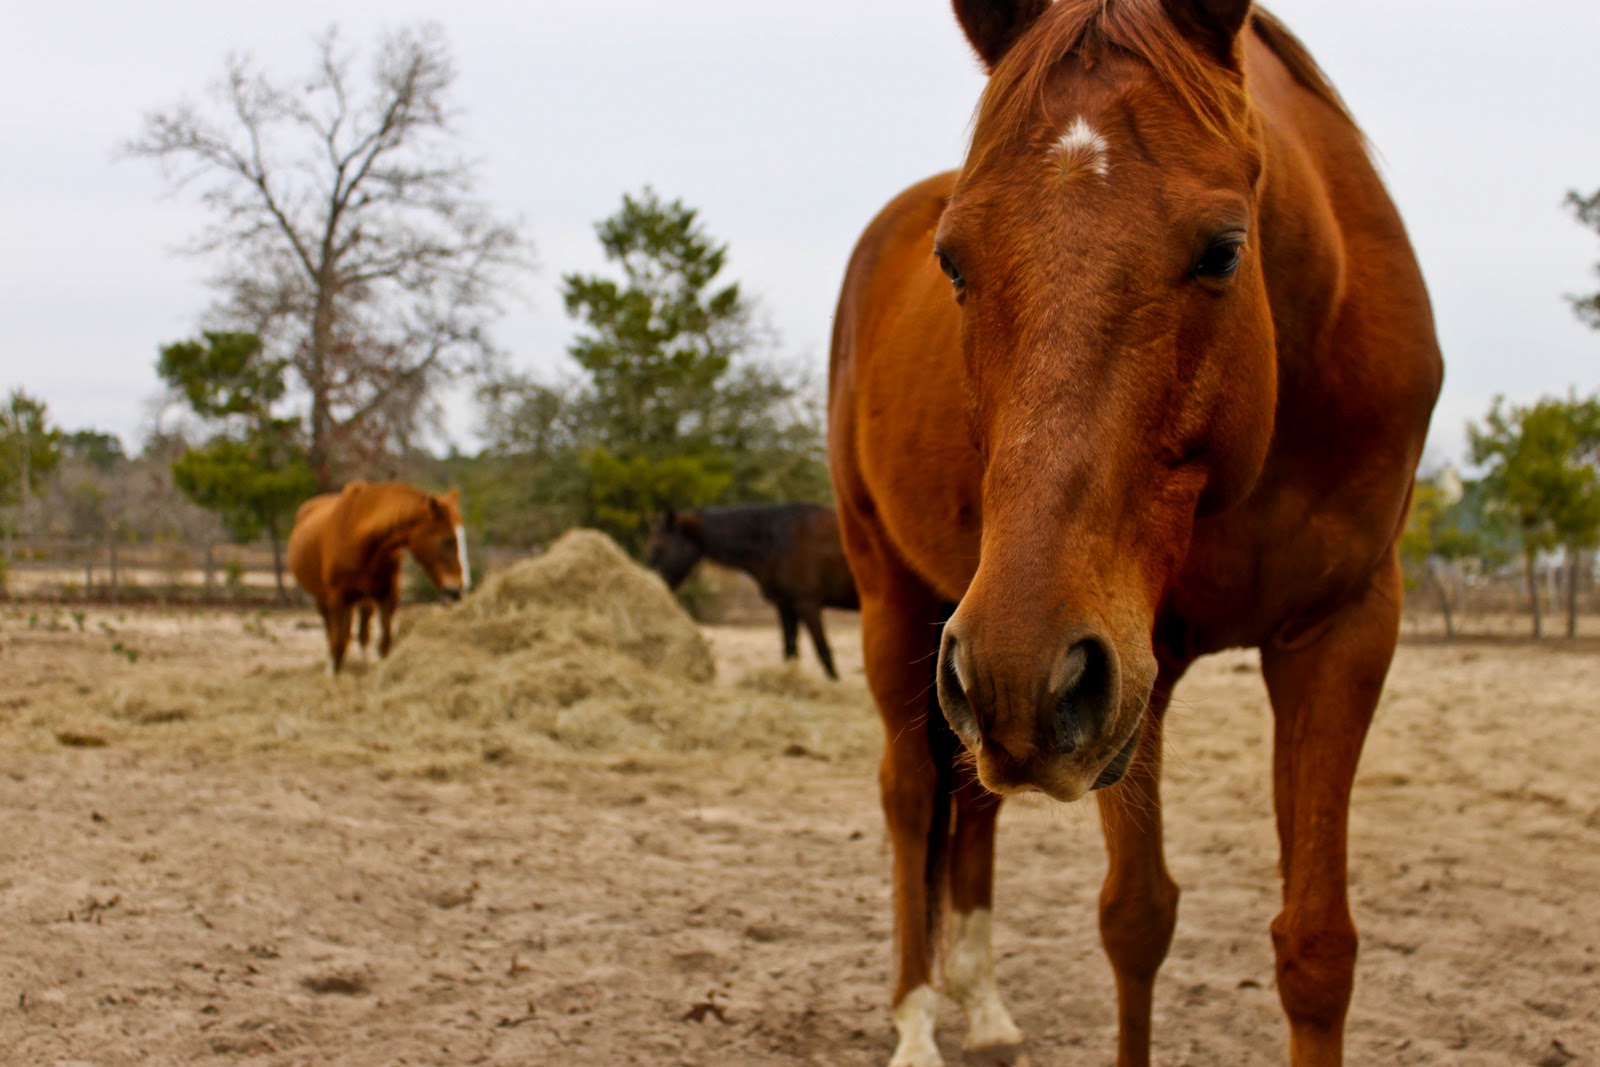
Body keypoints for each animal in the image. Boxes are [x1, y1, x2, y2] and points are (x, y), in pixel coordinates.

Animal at [287, 481, 471, 674]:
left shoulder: (387, 595)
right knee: (334, 633)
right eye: (448, 540)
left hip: (363, 601)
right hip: (323, 599)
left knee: (361, 634)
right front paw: (332, 674)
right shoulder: (336, 599)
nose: (459, 590)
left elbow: (384, 642)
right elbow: (337, 642)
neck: (358, 537)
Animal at [646, 503, 860, 679]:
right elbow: (790, 650)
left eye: (659, 546)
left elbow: (823, 651)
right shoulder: (785, 607)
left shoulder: (807, 605)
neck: (779, 541)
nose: (648, 575)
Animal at [828, 2, 1441, 1064]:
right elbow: (1137, 918)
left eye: (1224, 249)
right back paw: (916, 1022)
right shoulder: (1124, 662)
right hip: (912, 613)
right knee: (910, 795)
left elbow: (1317, 943)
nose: (1021, 663)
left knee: (973, 799)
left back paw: (984, 1004)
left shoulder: (1343, 631)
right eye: (953, 262)